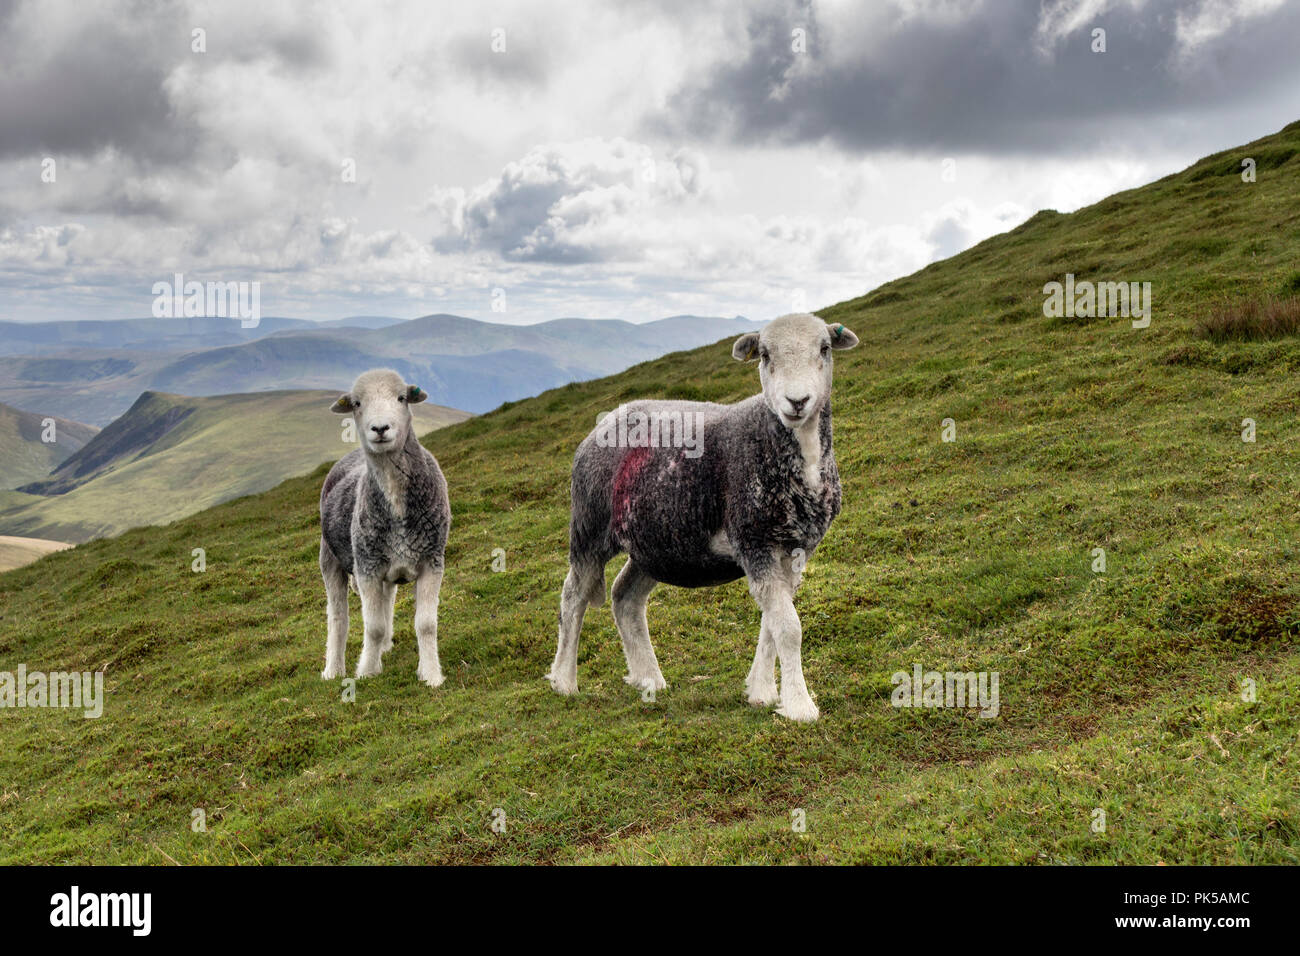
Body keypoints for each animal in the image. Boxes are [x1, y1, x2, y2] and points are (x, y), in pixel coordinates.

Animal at [319, 368, 450, 688]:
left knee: (387, 599)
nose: (380, 428)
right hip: (329, 558)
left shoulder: (432, 560)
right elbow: (373, 626)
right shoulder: (367, 567)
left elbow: (426, 624)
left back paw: (385, 647)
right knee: (338, 617)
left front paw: (431, 675)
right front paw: (367, 670)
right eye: (356, 403)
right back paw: (334, 669)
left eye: (401, 398)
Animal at [547, 312, 859, 721]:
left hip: (657, 544)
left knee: (624, 597)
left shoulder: (794, 549)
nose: (797, 401)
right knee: (574, 597)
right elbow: (788, 627)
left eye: (824, 348)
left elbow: (772, 623)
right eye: (764, 355)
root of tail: (605, 421)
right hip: (589, 526)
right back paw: (564, 681)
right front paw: (799, 706)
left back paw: (648, 678)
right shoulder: (754, 540)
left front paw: (761, 692)